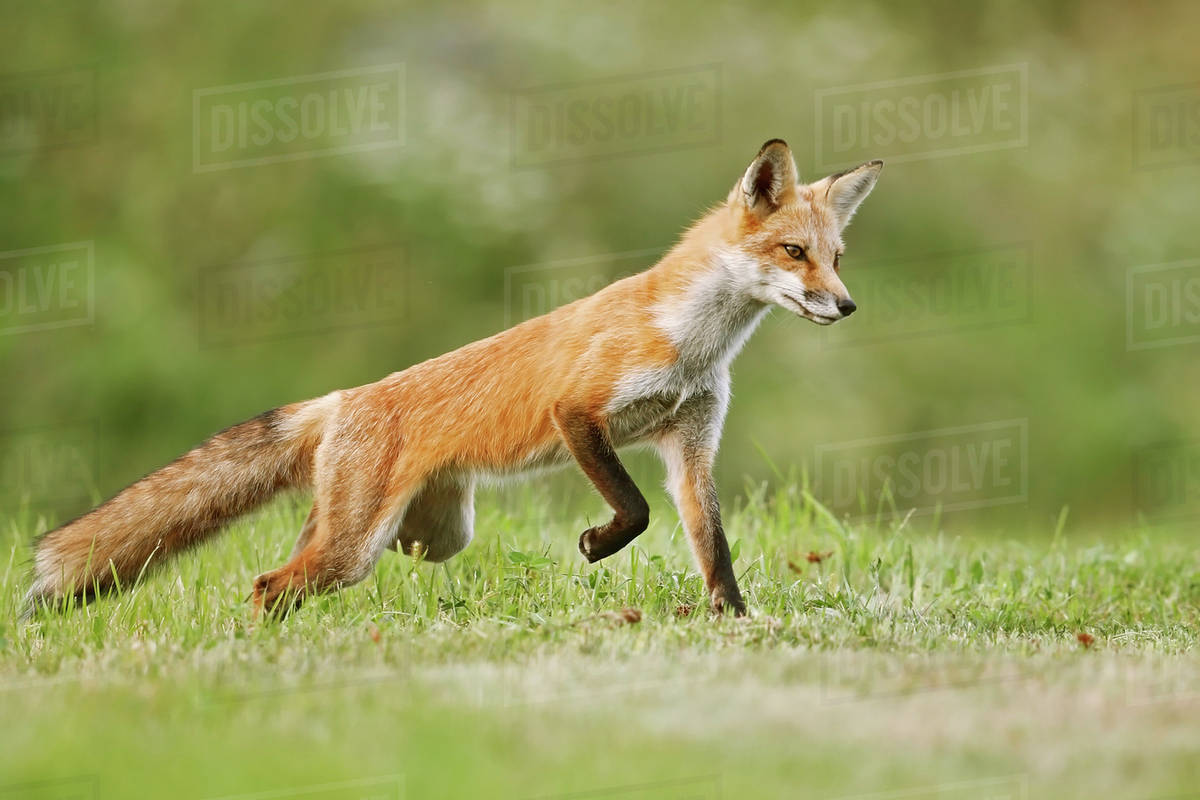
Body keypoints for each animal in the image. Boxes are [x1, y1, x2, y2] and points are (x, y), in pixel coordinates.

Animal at [24, 139, 882, 619]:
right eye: (794, 253)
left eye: (837, 256)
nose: (846, 305)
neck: (696, 341)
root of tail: (342, 398)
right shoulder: (578, 409)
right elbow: (634, 509)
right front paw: (599, 543)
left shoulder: (691, 440)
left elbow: (714, 546)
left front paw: (736, 623)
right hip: (360, 544)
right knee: (273, 582)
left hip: (425, 536)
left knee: (299, 570)